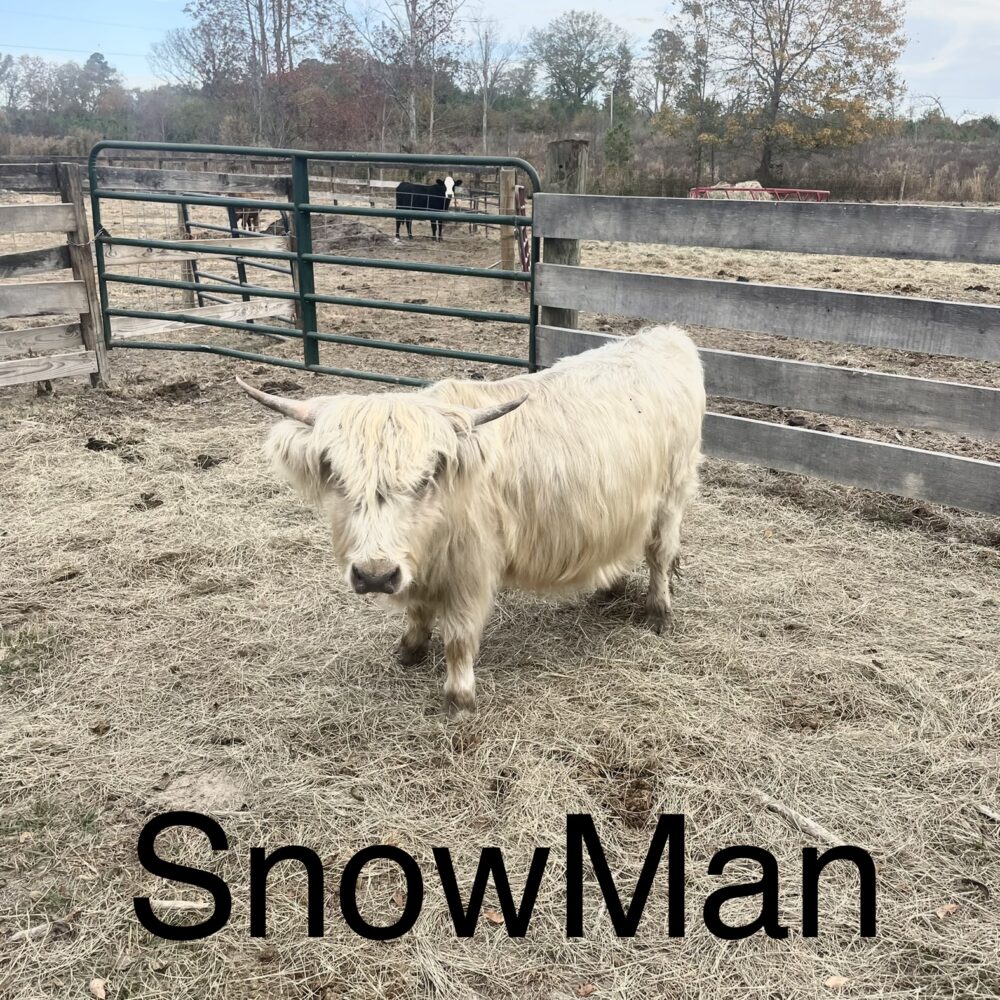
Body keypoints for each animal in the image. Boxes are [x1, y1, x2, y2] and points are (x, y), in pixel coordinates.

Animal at [237, 324, 705, 715]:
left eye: (425, 478)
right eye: (336, 474)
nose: (374, 575)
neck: (433, 534)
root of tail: (665, 336)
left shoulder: (471, 569)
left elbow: (459, 636)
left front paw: (459, 698)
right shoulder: (417, 567)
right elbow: (418, 612)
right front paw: (409, 650)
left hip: (671, 495)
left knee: (660, 554)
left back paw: (659, 613)